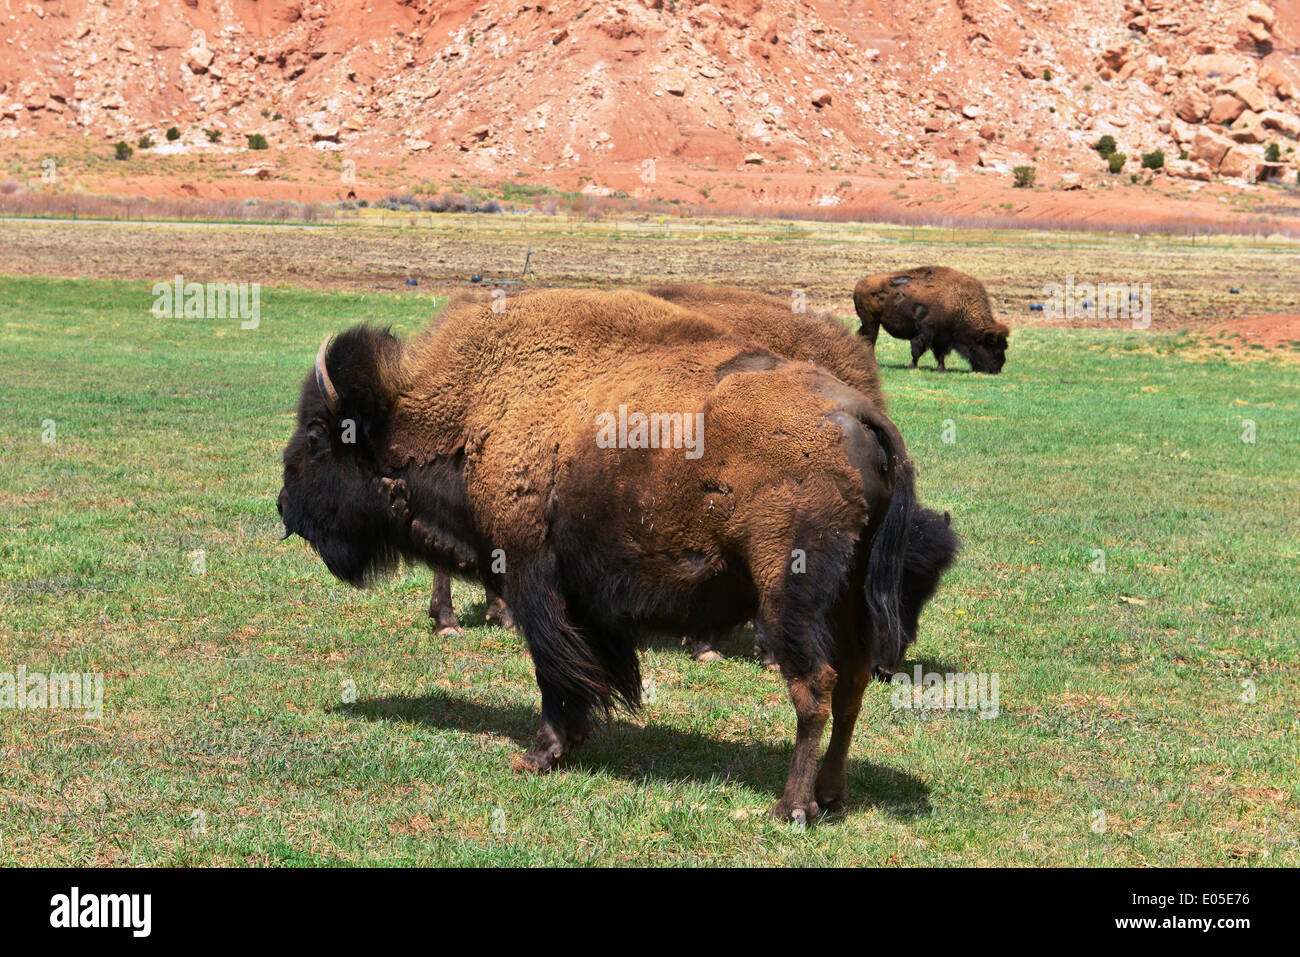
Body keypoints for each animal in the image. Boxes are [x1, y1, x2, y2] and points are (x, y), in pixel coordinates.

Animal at [279, 289, 920, 820]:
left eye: (316, 435)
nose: (286, 508)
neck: (475, 407)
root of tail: (865, 416)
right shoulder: (585, 598)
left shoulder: (534, 577)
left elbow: (555, 668)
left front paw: (542, 753)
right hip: (849, 594)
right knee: (851, 684)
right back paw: (831, 795)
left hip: (791, 595)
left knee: (814, 688)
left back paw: (791, 808)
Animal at [854, 266, 1010, 373]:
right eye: (993, 346)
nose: (997, 368)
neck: (959, 301)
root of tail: (859, 284)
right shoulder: (926, 333)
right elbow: (918, 350)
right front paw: (912, 366)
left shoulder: (943, 338)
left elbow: (940, 354)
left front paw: (942, 369)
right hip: (872, 322)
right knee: (870, 340)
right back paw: (873, 364)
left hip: (868, 323)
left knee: (862, 336)